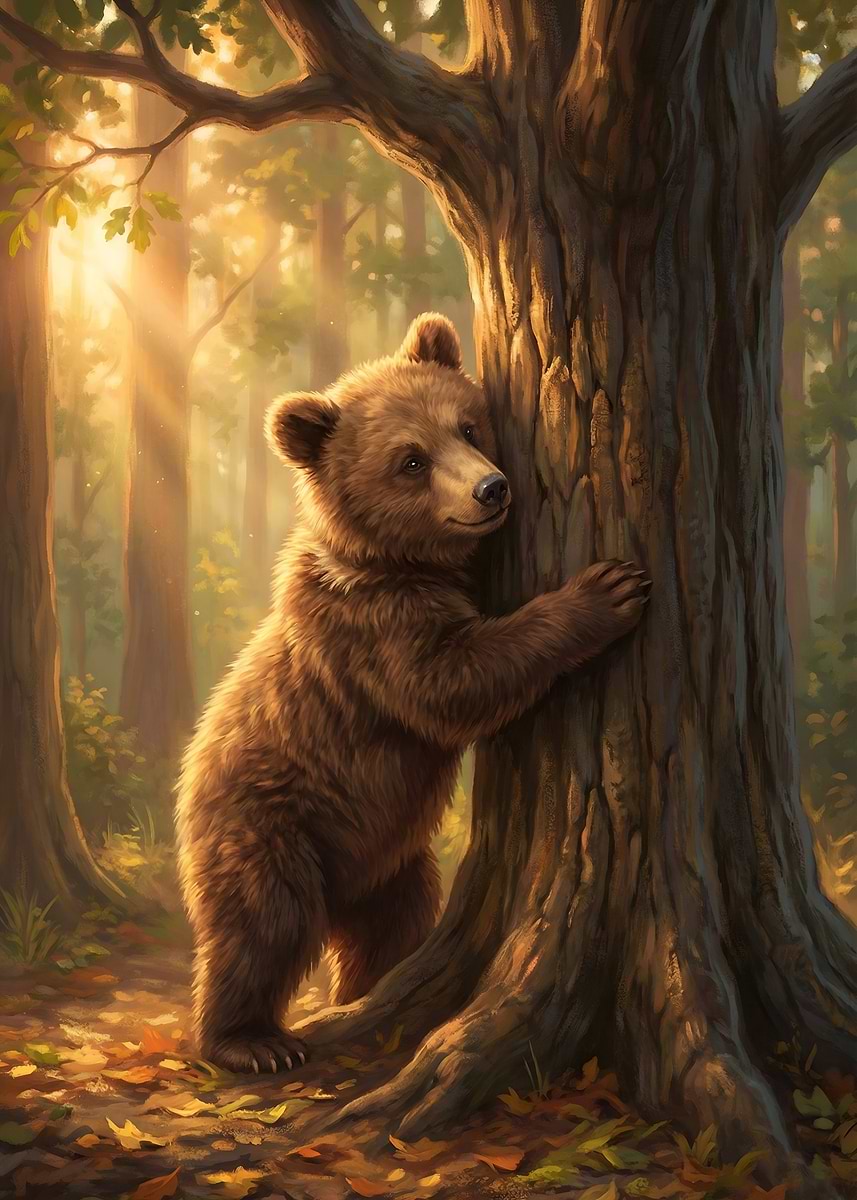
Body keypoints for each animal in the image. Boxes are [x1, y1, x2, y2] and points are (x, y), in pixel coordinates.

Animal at [175, 312, 650, 1074]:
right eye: (411, 461)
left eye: (467, 426)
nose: (491, 490)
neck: (399, 560)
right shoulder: (372, 630)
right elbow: (454, 684)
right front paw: (604, 592)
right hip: (267, 823)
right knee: (263, 923)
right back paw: (250, 1040)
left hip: (392, 859)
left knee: (392, 929)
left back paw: (362, 996)